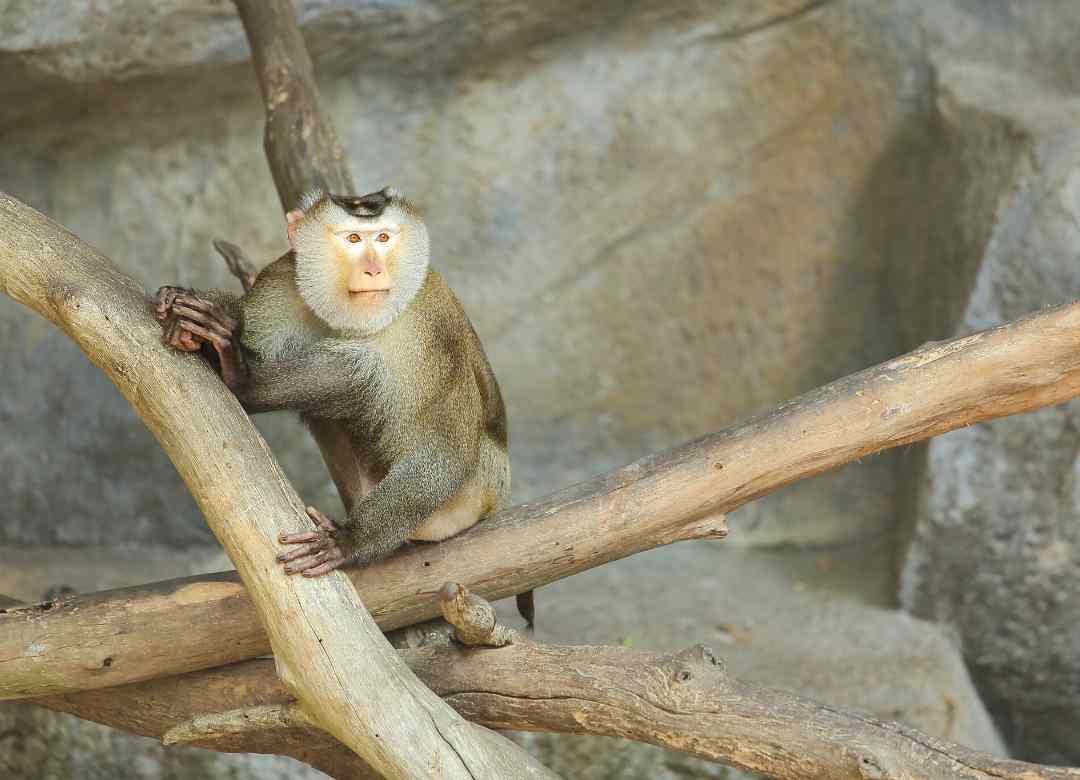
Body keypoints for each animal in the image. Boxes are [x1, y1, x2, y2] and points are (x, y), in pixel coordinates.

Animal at [155, 188, 534, 627]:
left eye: (383, 238)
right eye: (353, 239)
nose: (373, 270)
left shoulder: (432, 328)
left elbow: (442, 454)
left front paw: (348, 540)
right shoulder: (281, 280)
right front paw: (190, 312)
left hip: (476, 492)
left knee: (362, 368)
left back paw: (242, 378)